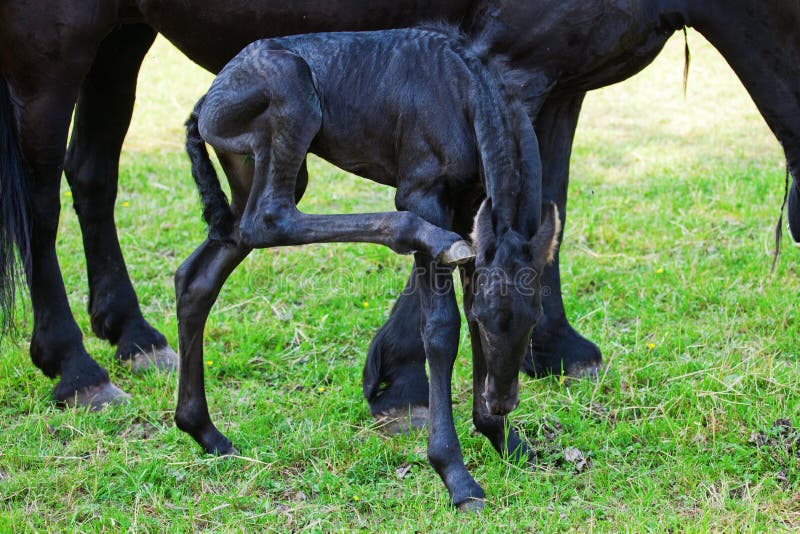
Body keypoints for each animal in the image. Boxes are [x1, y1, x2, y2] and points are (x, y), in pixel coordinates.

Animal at [0, 1, 798, 415]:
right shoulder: (510, 68)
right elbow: (470, 225)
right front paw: (403, 376)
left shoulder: (559, 76)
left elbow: (543, 207)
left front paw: (555, 347)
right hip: (52, 44)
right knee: (39, 201)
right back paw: (74, 367)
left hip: (123, 34)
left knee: (95, 176)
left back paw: (133, 334)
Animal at [178, 25, 559, 509]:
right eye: (490, 323)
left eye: (533, 320)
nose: (502, 402)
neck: (467, 90)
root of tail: (207, 100)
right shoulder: (424, 192)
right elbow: (441, 328)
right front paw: (456, 474)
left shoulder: (472, 210)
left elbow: (470, 296)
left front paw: (505, 441)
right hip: (293, 104)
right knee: (269, 218)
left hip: (248, 170)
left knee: (199, 275)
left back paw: (206, 433)